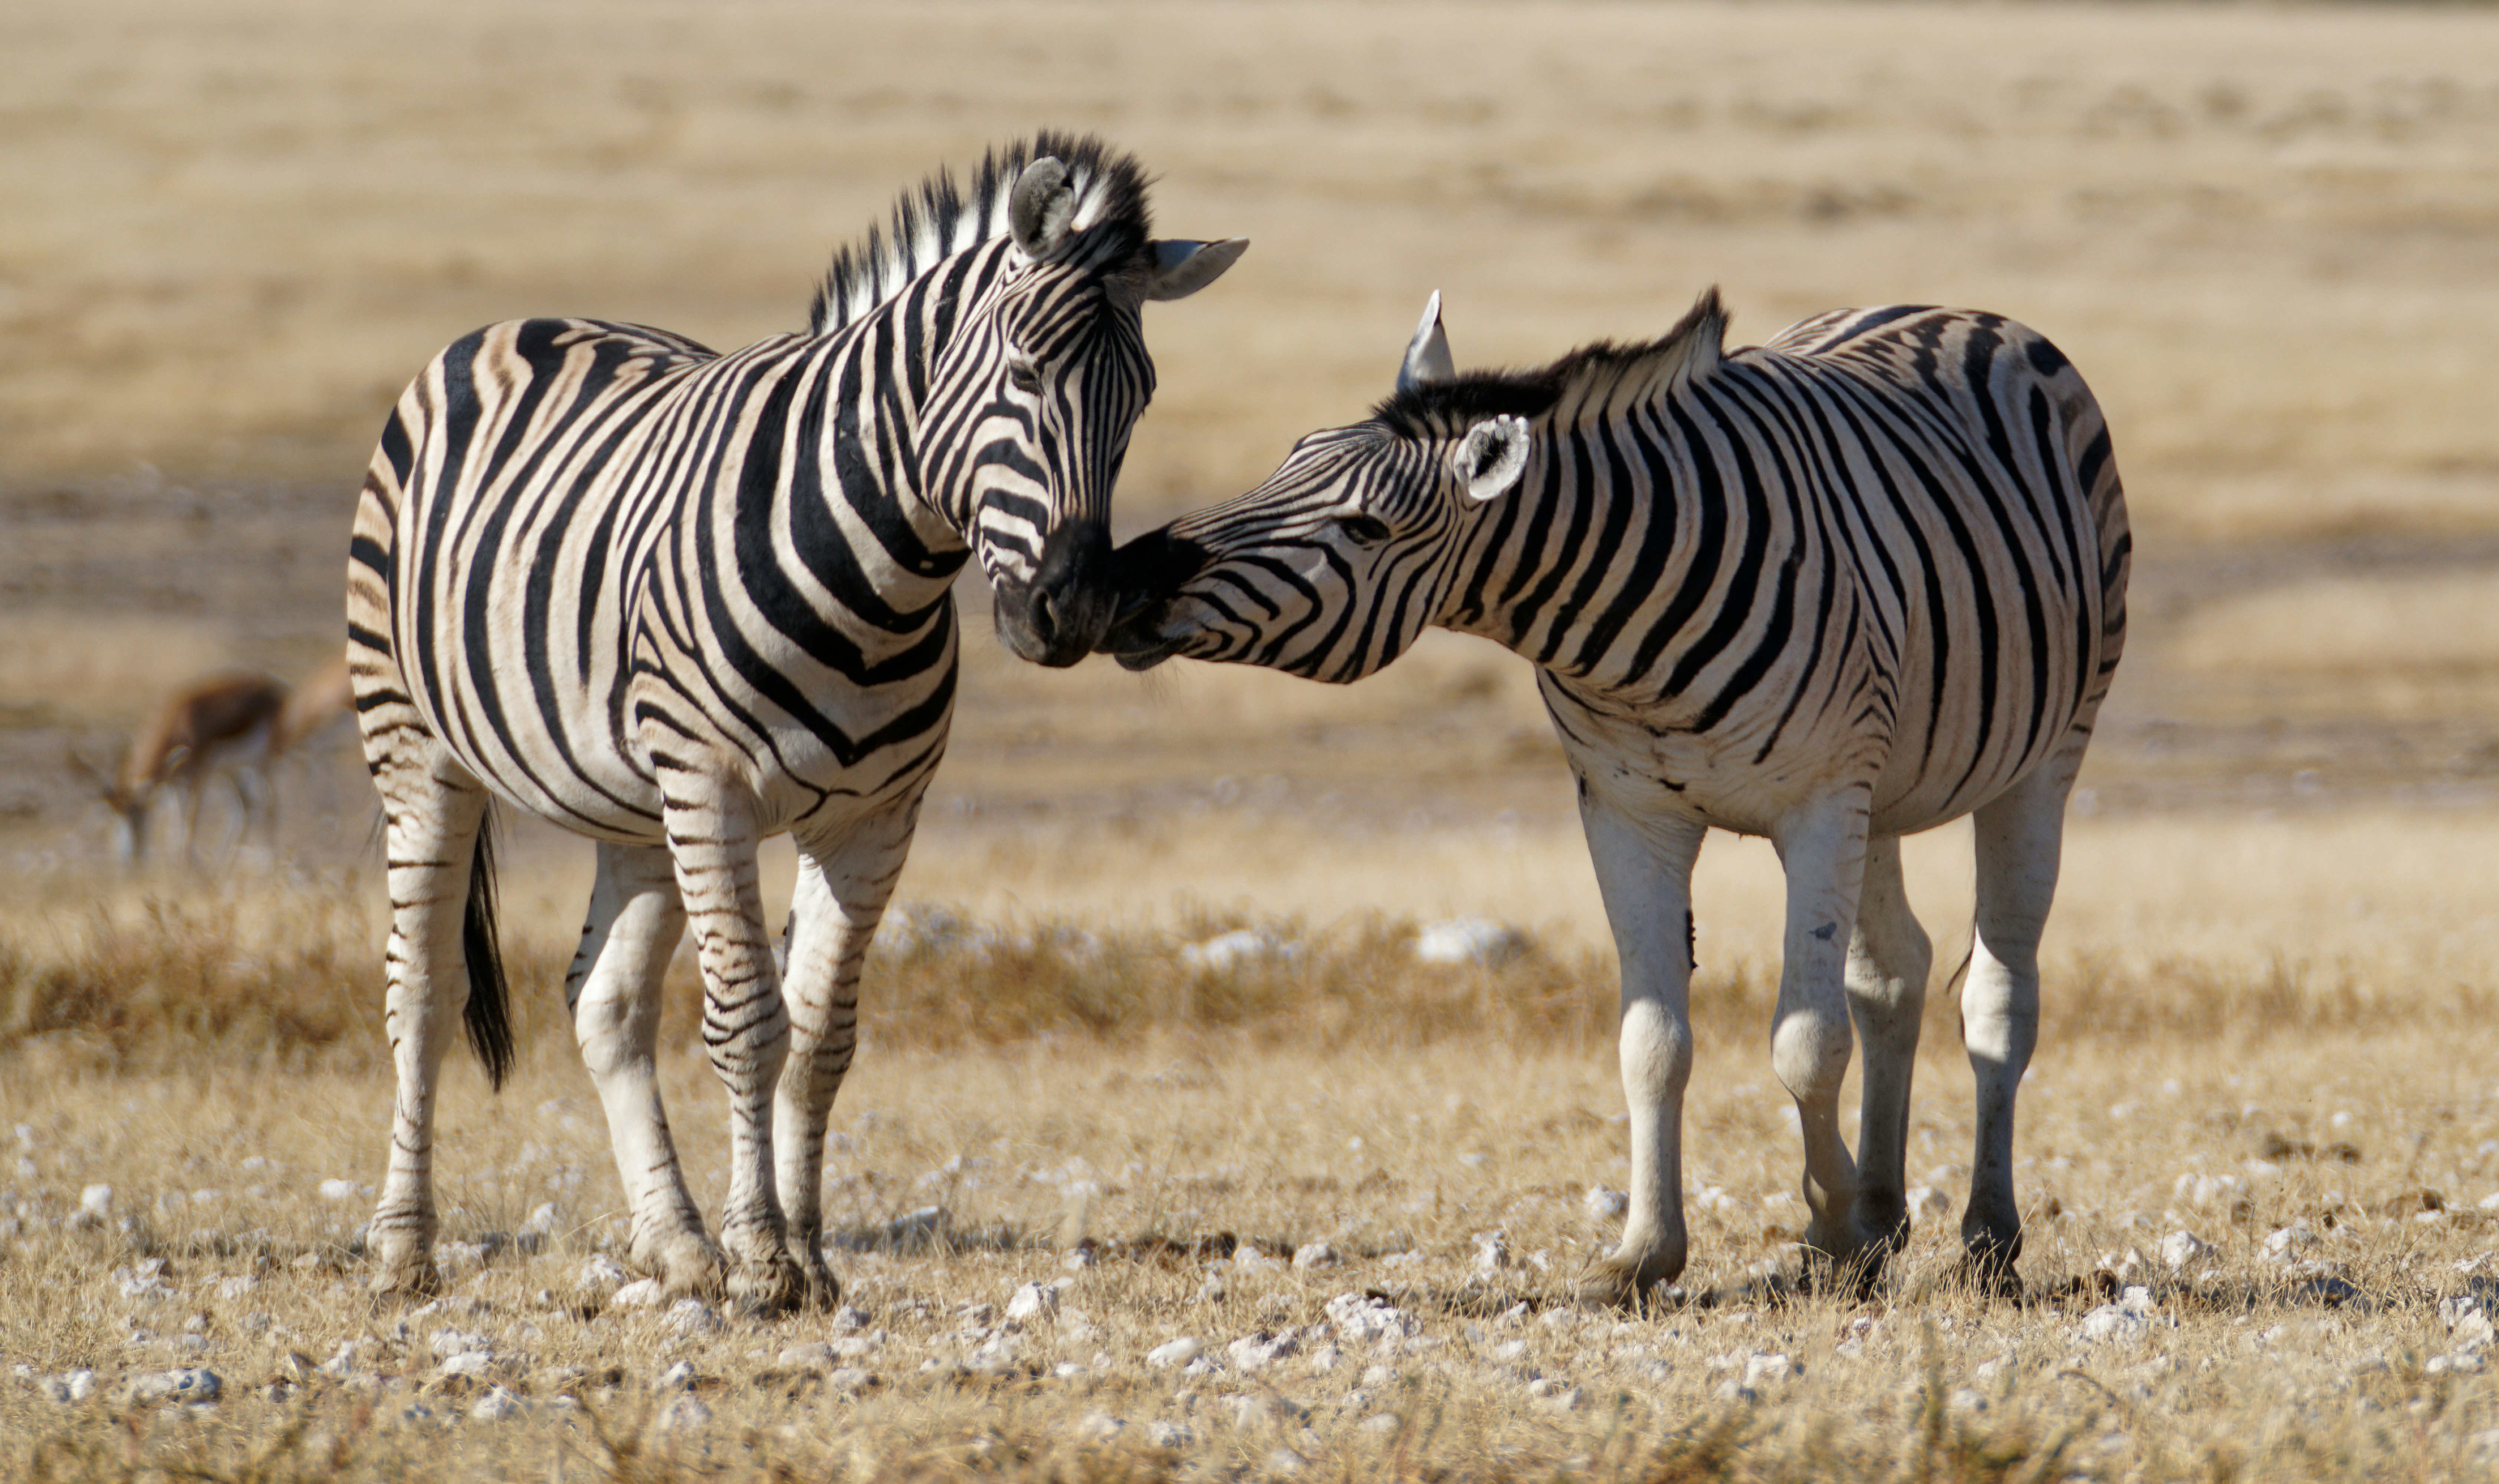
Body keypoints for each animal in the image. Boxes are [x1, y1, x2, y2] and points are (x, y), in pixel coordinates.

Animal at [346, 134, 1243, 1312]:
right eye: (1024, 373)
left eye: (1140, 401)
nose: (1076, 610)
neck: (881, 571)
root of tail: (511, 325)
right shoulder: (715, 791)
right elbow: (747, 1022)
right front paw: (765, 1260)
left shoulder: (875, 820)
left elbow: (821, 1035)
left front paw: (805, 1255)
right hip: (421, 749)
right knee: (422, 991)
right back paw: (405, 1250)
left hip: (638, 808)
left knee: (606, 1005)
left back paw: (676, 1243)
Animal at [1106, 289, 2128, 1301]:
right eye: (1288, 457)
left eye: (1364, 528)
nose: (1125, 581)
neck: (1633, 626)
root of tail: (1960, 313)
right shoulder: (1628, 809)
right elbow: (1652, 1042)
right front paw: (1651, 1251)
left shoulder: (1817, 803)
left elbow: (1805, 1040)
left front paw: (1833, 1228)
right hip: (1880, 783)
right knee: (1893, 974)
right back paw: (1884, 1205)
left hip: (2040, 758)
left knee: (1997, 995)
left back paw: (1987, 1235)